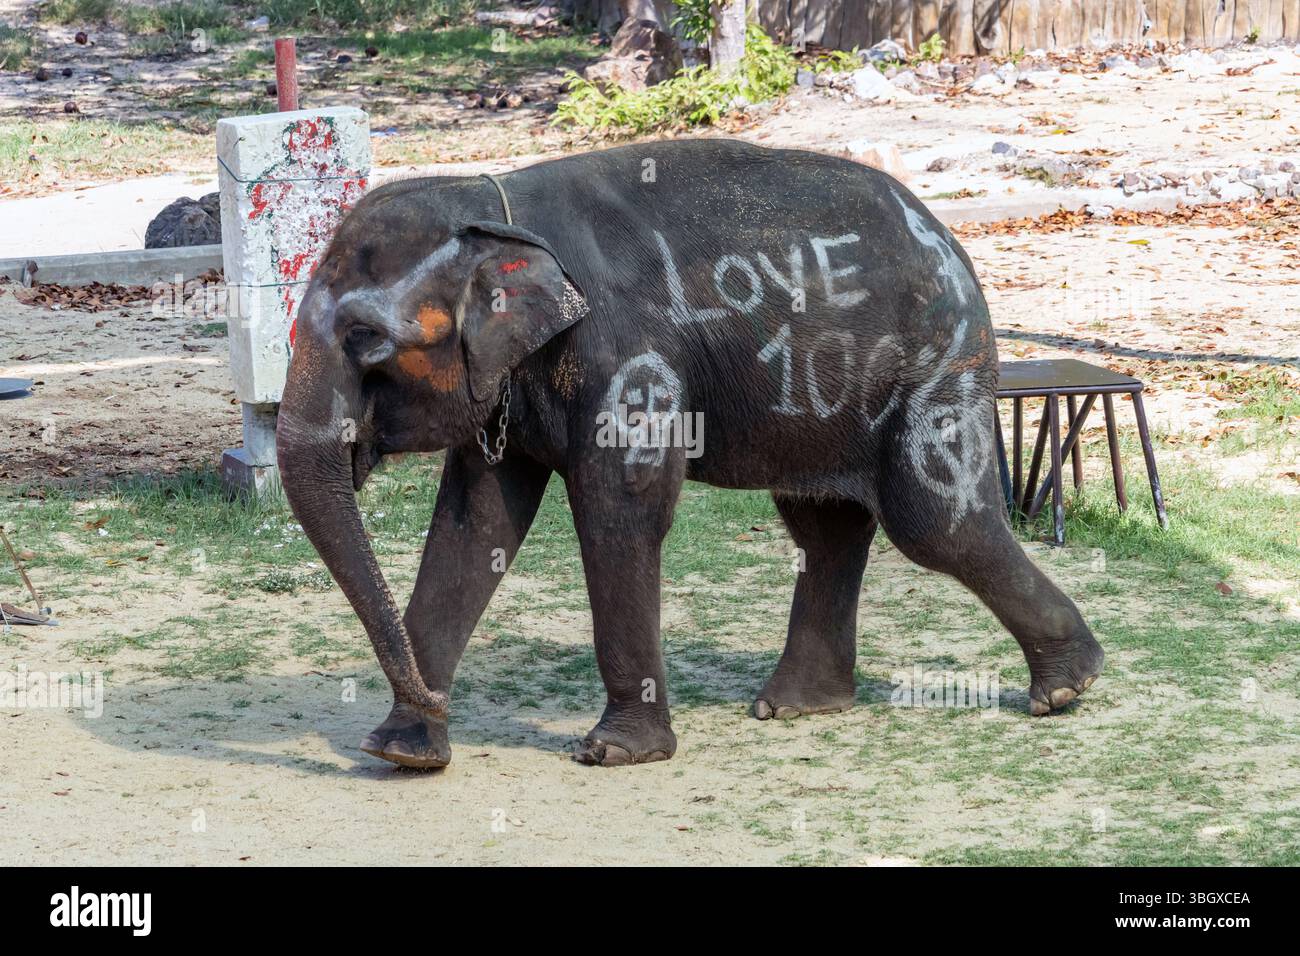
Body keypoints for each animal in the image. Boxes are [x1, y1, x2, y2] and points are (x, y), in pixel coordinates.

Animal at [276, 138, 1104, 770]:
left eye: (366, 341)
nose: (430, 711)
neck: (494, 205)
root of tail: (951, 240)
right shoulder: (506, 379)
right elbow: (476, 527)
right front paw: (399, 751)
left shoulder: (624, 355)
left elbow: (621, 509)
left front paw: (614, 754)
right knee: (823, 525)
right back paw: (796, 706)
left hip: (937, 359)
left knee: (935, 520)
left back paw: (1066, 688)